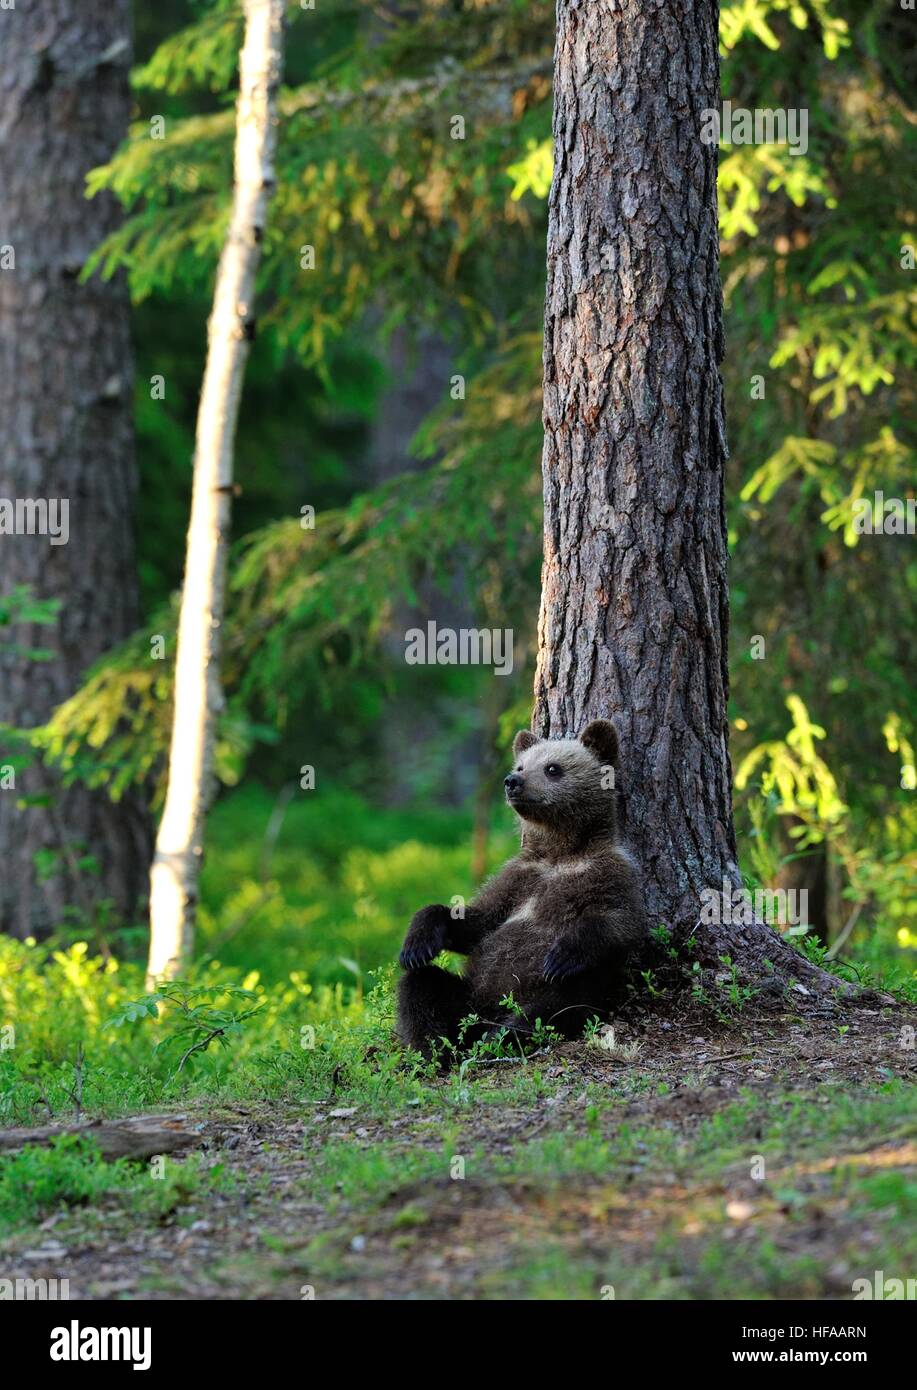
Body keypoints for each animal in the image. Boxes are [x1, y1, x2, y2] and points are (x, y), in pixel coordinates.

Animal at [396, 718, 646, 1058]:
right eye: (521, 764)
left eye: (553, 768)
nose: (512, 781)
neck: (560, 853)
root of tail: (483, 1015)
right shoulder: (518, 878)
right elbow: (477, 921)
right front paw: (417, 943)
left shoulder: (610, 873)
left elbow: (621, 922)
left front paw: (563, 953)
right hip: (468, 993)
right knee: (420, 986)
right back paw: (435, 1050)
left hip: (568, 987)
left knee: (553, 1006)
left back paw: (501, 1034)